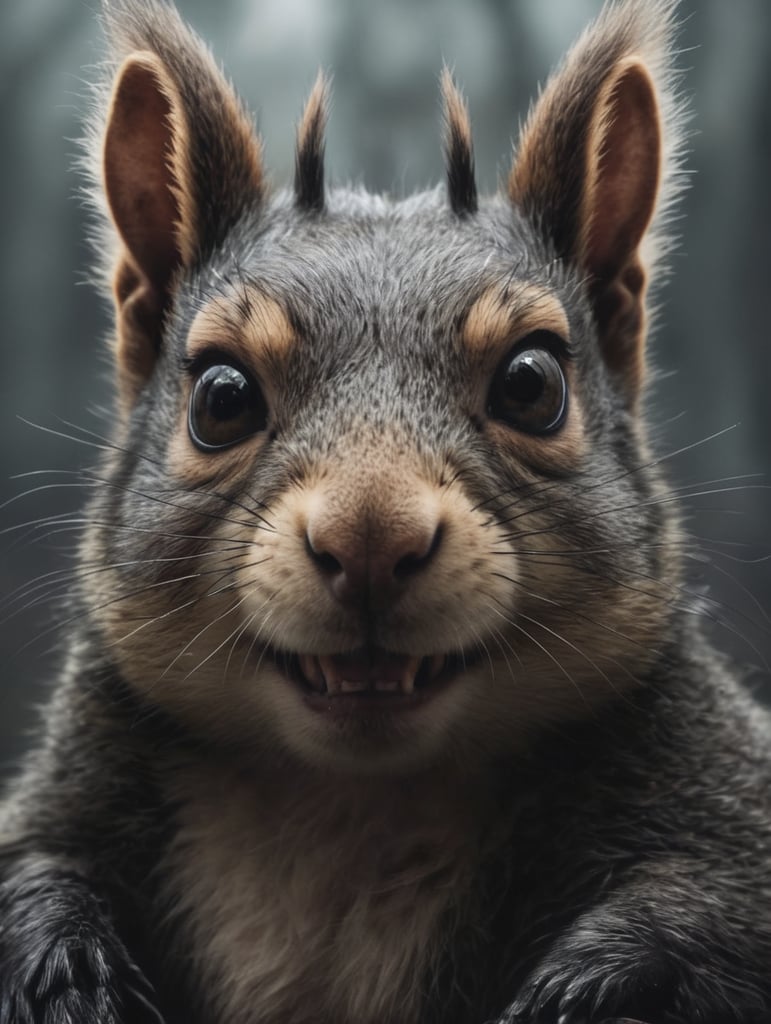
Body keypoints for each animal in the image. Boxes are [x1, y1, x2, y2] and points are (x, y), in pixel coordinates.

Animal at [1, 0, 770, 1021]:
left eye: (532, 385)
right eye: (220, 398)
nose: (369, 540)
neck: (348, 810)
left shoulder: (727, 802)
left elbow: (717, 909)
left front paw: (601, 983)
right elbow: (37, 863)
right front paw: (61, 968)